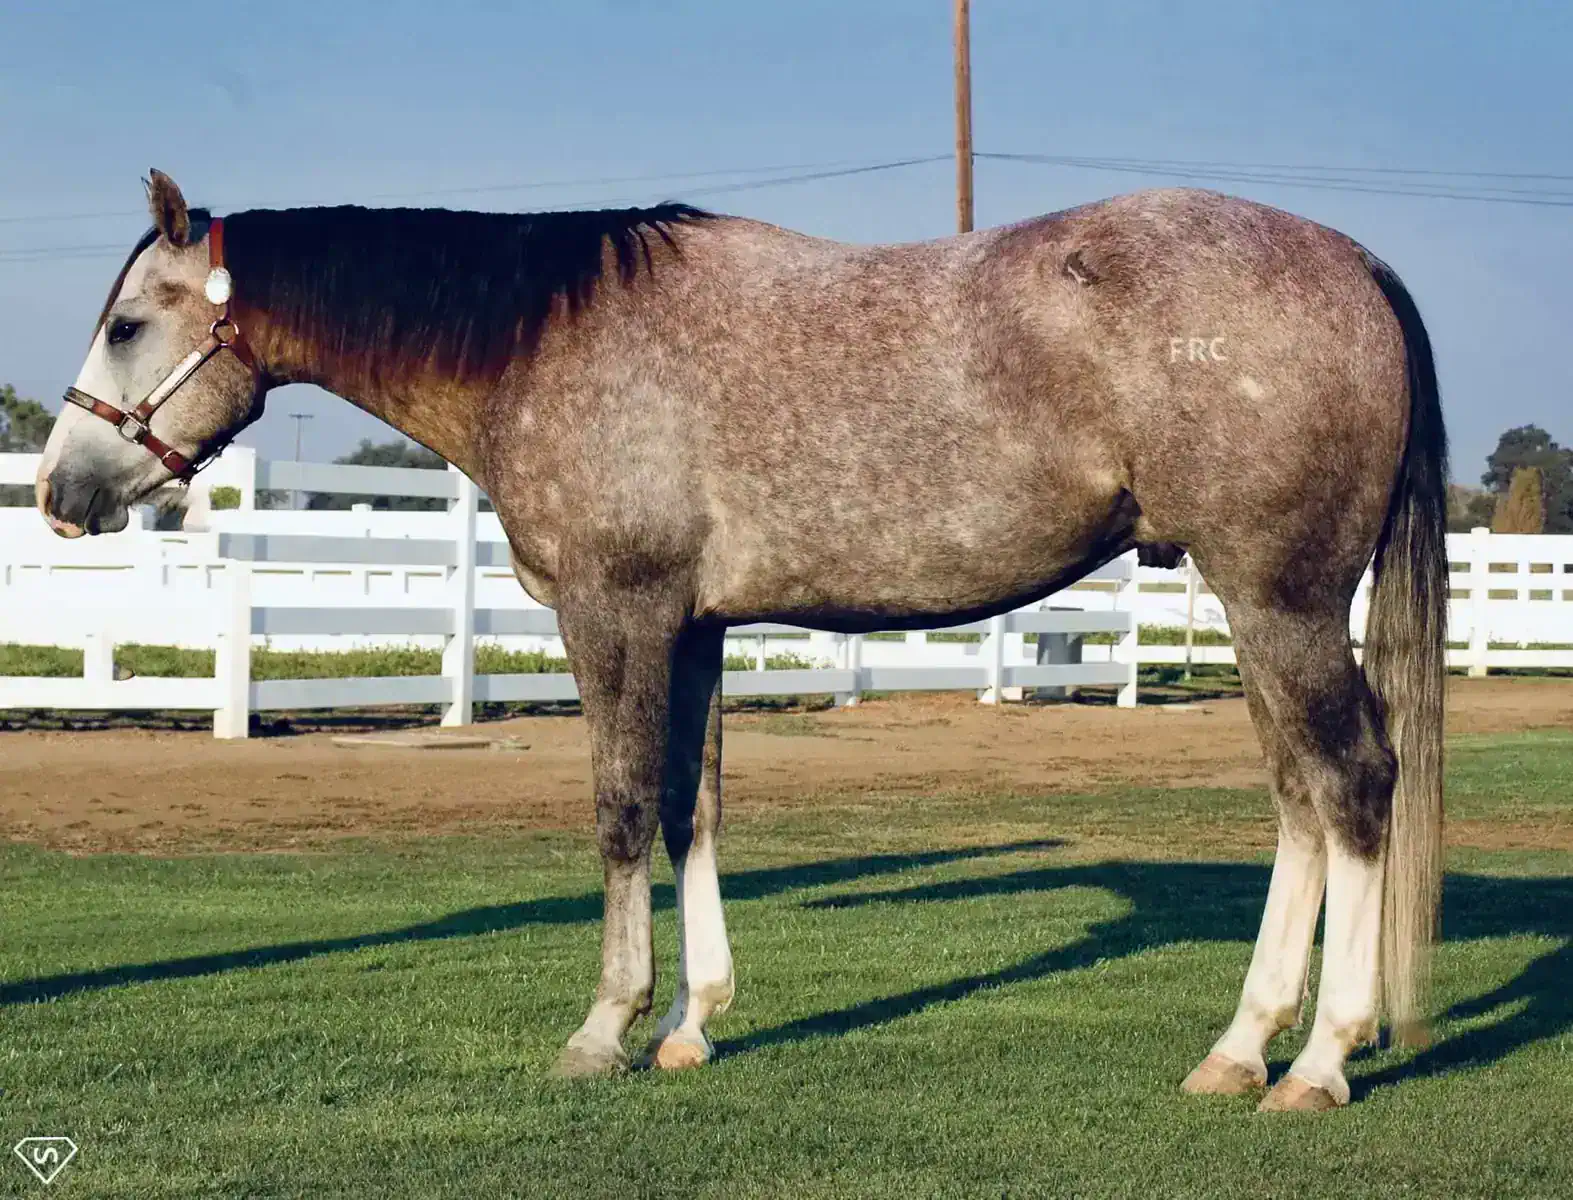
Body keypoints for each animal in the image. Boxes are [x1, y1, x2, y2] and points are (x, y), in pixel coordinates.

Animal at [36, 170, 1447, 1112]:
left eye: (125, 324)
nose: (59, 492)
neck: (546, 343)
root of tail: (1358, 265)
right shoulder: (695, 626)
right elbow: (689, 810)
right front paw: (690, 1024)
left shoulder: (614, 613)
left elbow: (617, 811)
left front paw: (603, 1031)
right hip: (1263, 609)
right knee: (1300, 801)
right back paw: (1243, 1046)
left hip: (1278, 599)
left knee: (1352, 786)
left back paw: (1318, 1061)